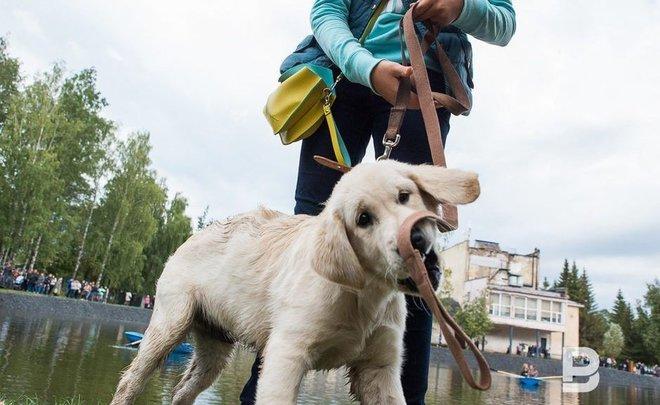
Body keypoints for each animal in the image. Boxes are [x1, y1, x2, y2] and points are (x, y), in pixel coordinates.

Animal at [109, 159, 480, 402]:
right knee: (129, 382)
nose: (414, 239)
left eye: (404, 196)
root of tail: (192, 235)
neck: (365, 298)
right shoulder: (285, 356)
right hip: (168, 326)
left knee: (181, 390)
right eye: (363, 219)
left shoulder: (380, 368)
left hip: (214, 348)